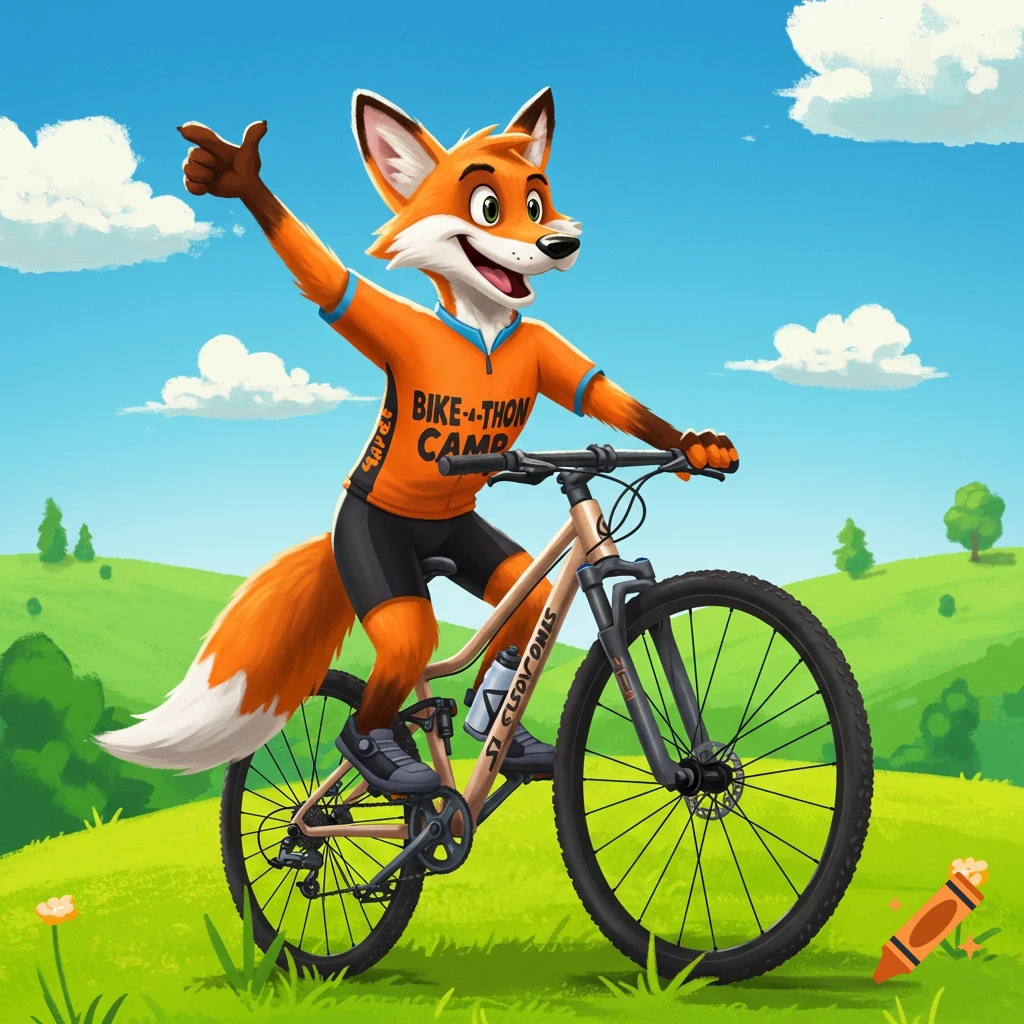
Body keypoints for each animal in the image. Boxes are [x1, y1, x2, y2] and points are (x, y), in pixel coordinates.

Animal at [95, 88, 738, 793]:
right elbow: (329, 279)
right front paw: (239, 175)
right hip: (368, 548)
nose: (559, 242)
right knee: (399, 657)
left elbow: (597, 397)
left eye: (536, 201)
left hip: (473, 553)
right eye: (489, 206)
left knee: (524, 601)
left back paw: (500, 735)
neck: (484, 327)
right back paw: (382, 762)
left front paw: (700, 445)